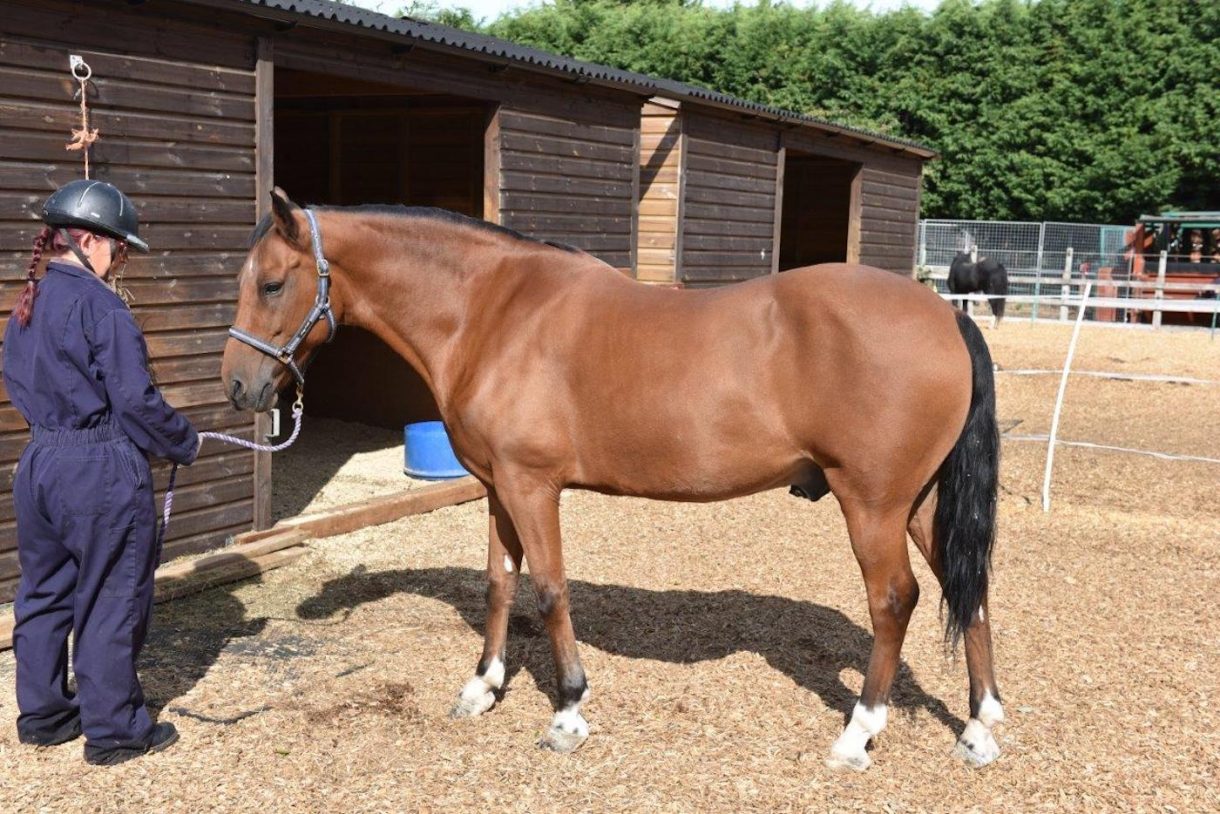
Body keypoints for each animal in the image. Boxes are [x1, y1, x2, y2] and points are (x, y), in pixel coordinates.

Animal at [221, 189, 1004, 771]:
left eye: (272, 282)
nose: (237, 386)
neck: (492, 312)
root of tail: (943, 315)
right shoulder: (498, 487)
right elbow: (500, 583)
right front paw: (482, 688)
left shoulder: (532, 485)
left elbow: (549, 589)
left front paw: (567, 711)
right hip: (919, 504)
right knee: (969, 590)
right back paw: (980, 726)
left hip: (872, 503)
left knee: (894, 601)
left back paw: (857, 733)